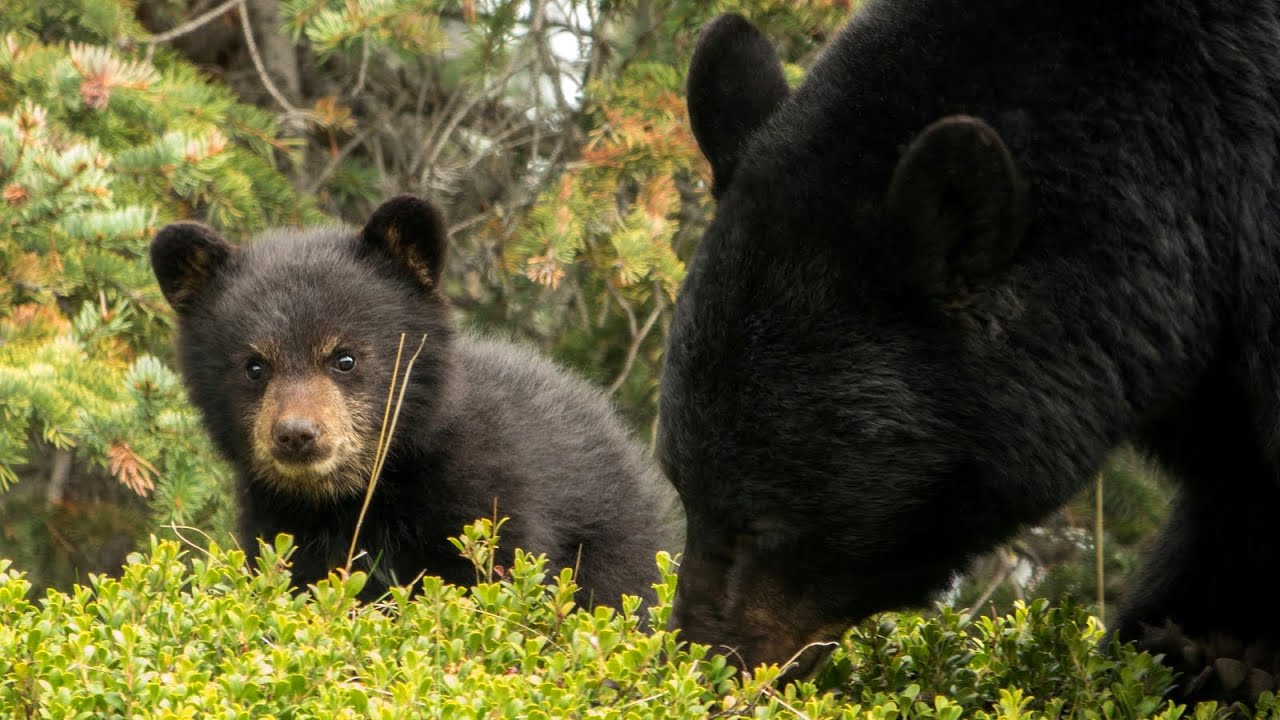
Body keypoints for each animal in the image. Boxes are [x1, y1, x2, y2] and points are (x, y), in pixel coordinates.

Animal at [150, 194, 679, 612]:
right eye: (254, 366)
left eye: (345, 358)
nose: (297, 434)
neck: (363, 494)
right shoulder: (280, 531)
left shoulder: (491, 506)